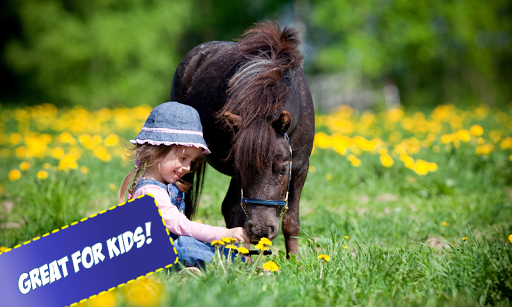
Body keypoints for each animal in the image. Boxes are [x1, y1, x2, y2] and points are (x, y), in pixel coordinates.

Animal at [170, 21, 314, 258]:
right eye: (243, 168)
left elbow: (291, 221)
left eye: (283, 169)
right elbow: (237, 213)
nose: (261, 229)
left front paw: (293, 260)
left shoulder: (301, 166)